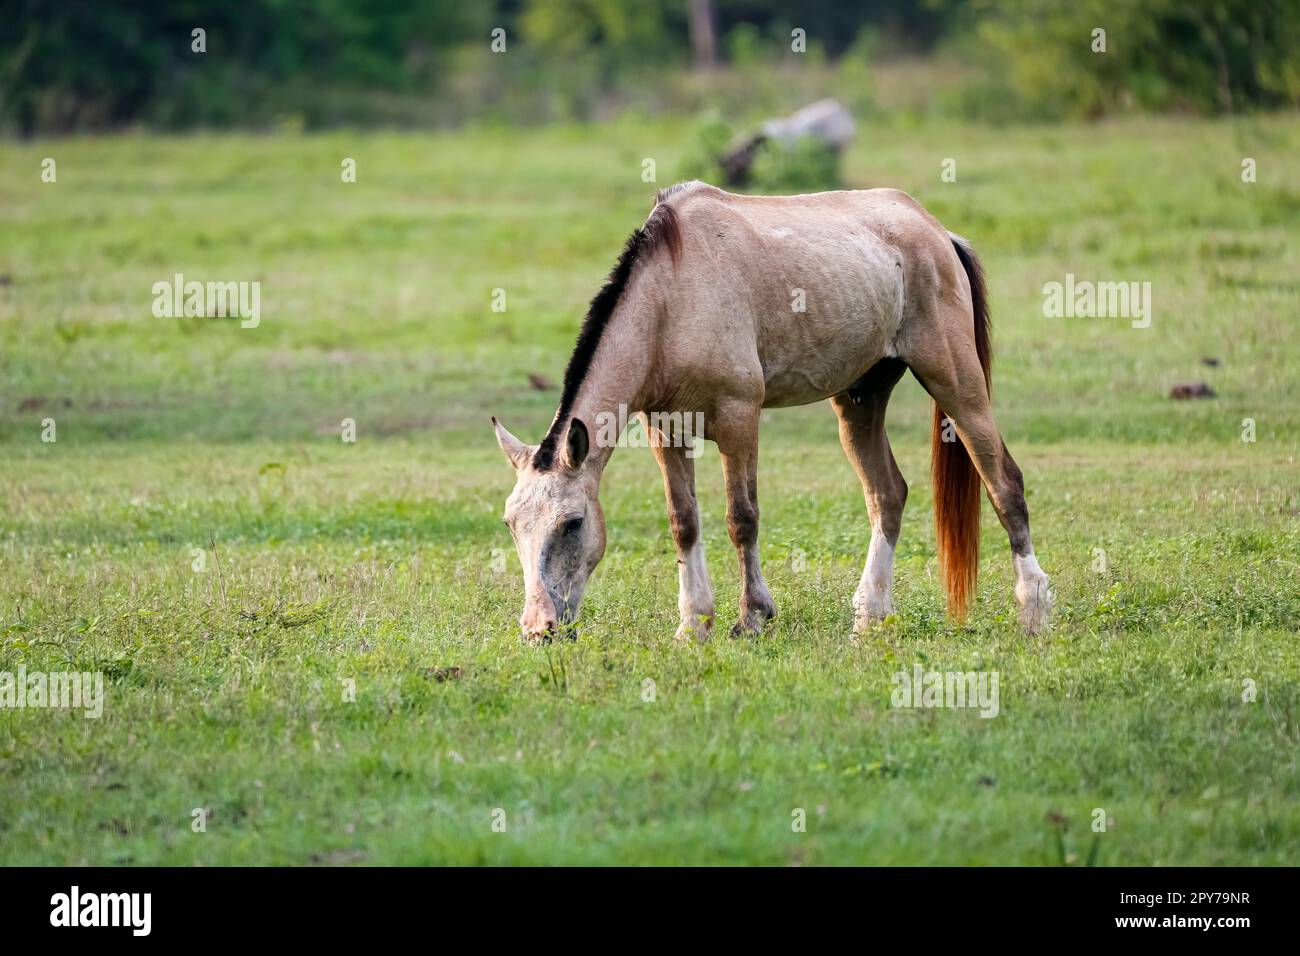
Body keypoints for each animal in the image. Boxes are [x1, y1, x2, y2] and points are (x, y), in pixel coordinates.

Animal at [493, 181, 1052, 643]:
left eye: (572, 523)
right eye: (511, 524)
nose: (539, 628)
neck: (672, 296)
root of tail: (939, 233)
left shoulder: (739, 418)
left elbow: (742, 518)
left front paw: (752, 617)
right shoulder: (666, 429)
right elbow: (683, 521)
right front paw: (693, 625)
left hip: (956, 384)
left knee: (1005, 484)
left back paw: (1034, 609)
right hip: (860, 403)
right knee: (888, 495)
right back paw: (869, 615)